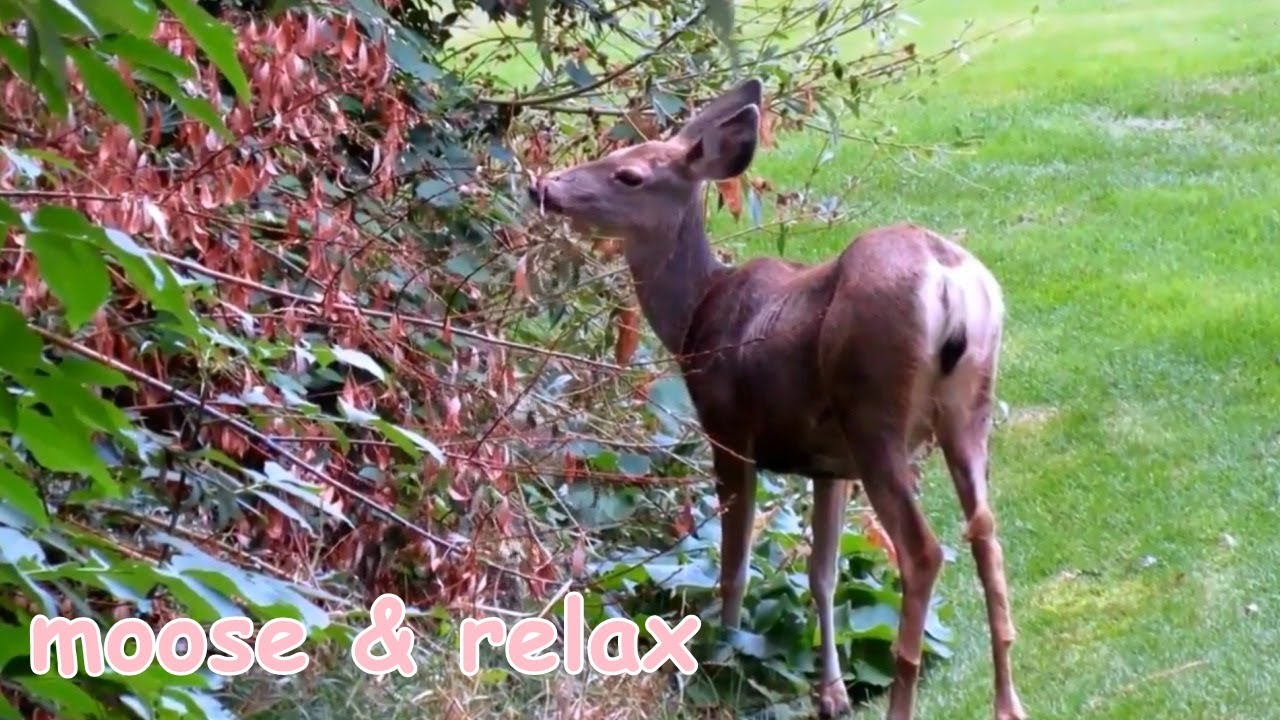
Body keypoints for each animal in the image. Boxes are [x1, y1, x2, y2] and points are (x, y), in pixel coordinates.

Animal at [528, 78, 1027, 720]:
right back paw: (1008, 703)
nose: (543, 186)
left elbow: (735, 564)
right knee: (987, 536)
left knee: (924, 550)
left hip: (875, 412)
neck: (694, 316)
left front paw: (722, 658)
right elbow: (822, 572)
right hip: (967, 408)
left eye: (629, 174)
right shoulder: (829, 464)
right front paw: (831, 693)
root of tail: (949, 281)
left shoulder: (727, 429)